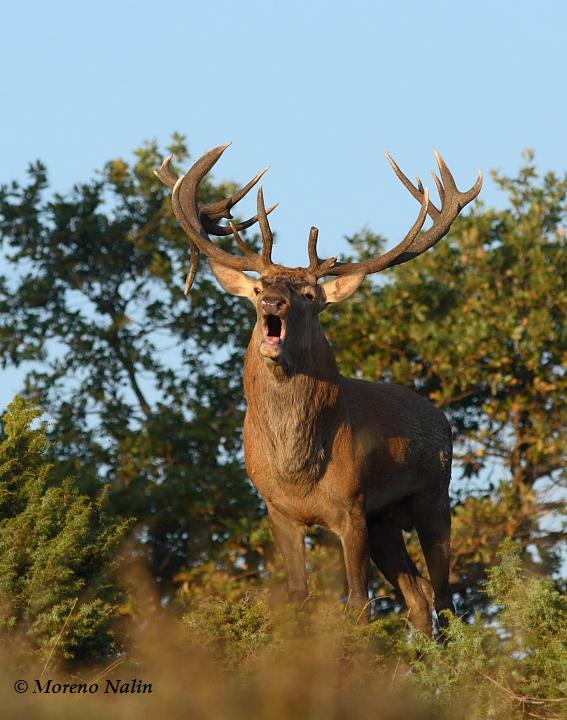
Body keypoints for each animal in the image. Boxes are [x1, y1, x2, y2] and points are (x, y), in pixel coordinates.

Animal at [155, 145, 482, 635]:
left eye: (309, 295)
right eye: (258, 288)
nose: (274, 303)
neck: (298, 469)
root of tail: (441, 418)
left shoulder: (351, 507)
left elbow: (360, 604)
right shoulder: (278, 510)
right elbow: (298, 598)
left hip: (432, 494)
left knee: (444, 595)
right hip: (385, 521)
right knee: (418, 595)